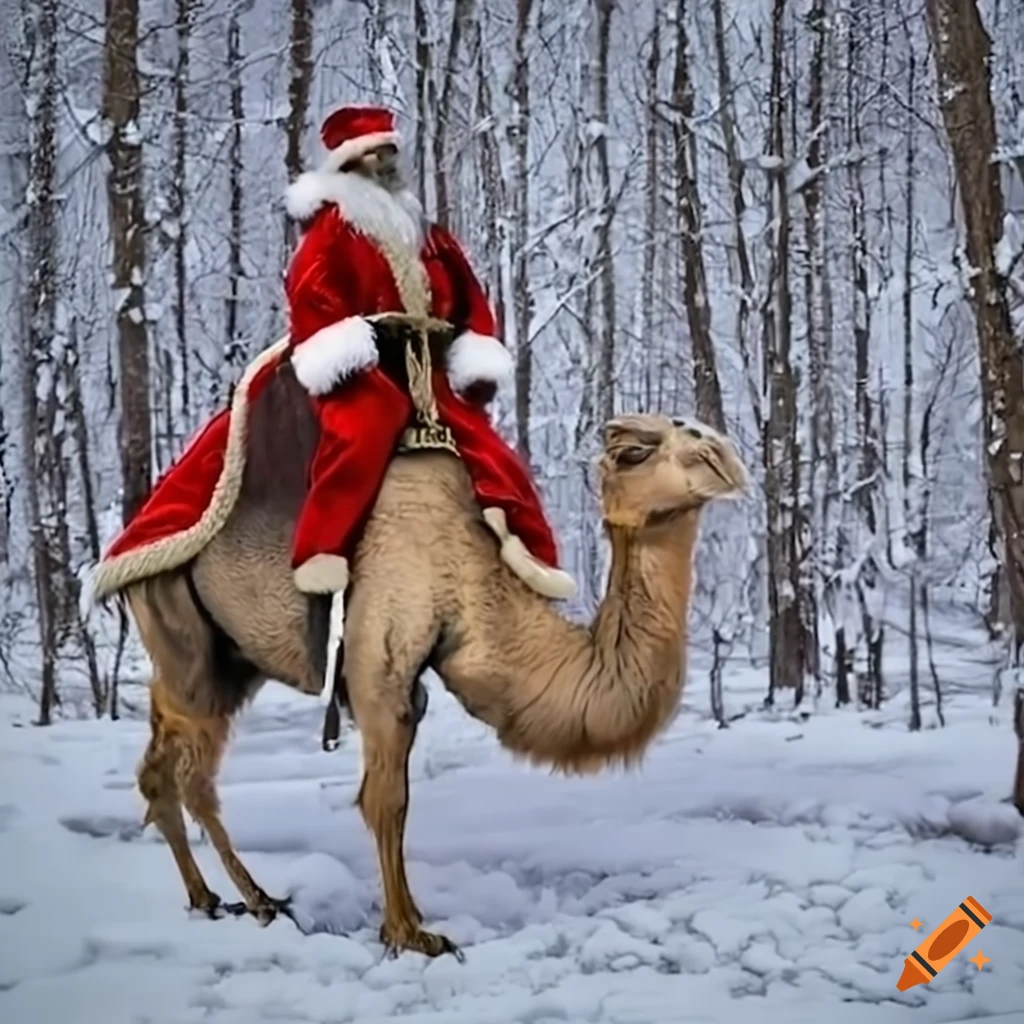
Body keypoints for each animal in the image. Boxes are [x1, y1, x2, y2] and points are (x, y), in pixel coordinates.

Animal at [116, 357, 747, 960]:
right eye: (640, 449)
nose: (728, 460)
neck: (472, 581)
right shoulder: (379, 668)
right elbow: (386, 800)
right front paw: (410, 934)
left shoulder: (410, 689)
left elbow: (394, 796)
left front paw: (410, 920)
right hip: (181, 626)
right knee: (193, 773)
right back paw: (258, 899)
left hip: (224, 657)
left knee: (161, 760)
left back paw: (209, 896)